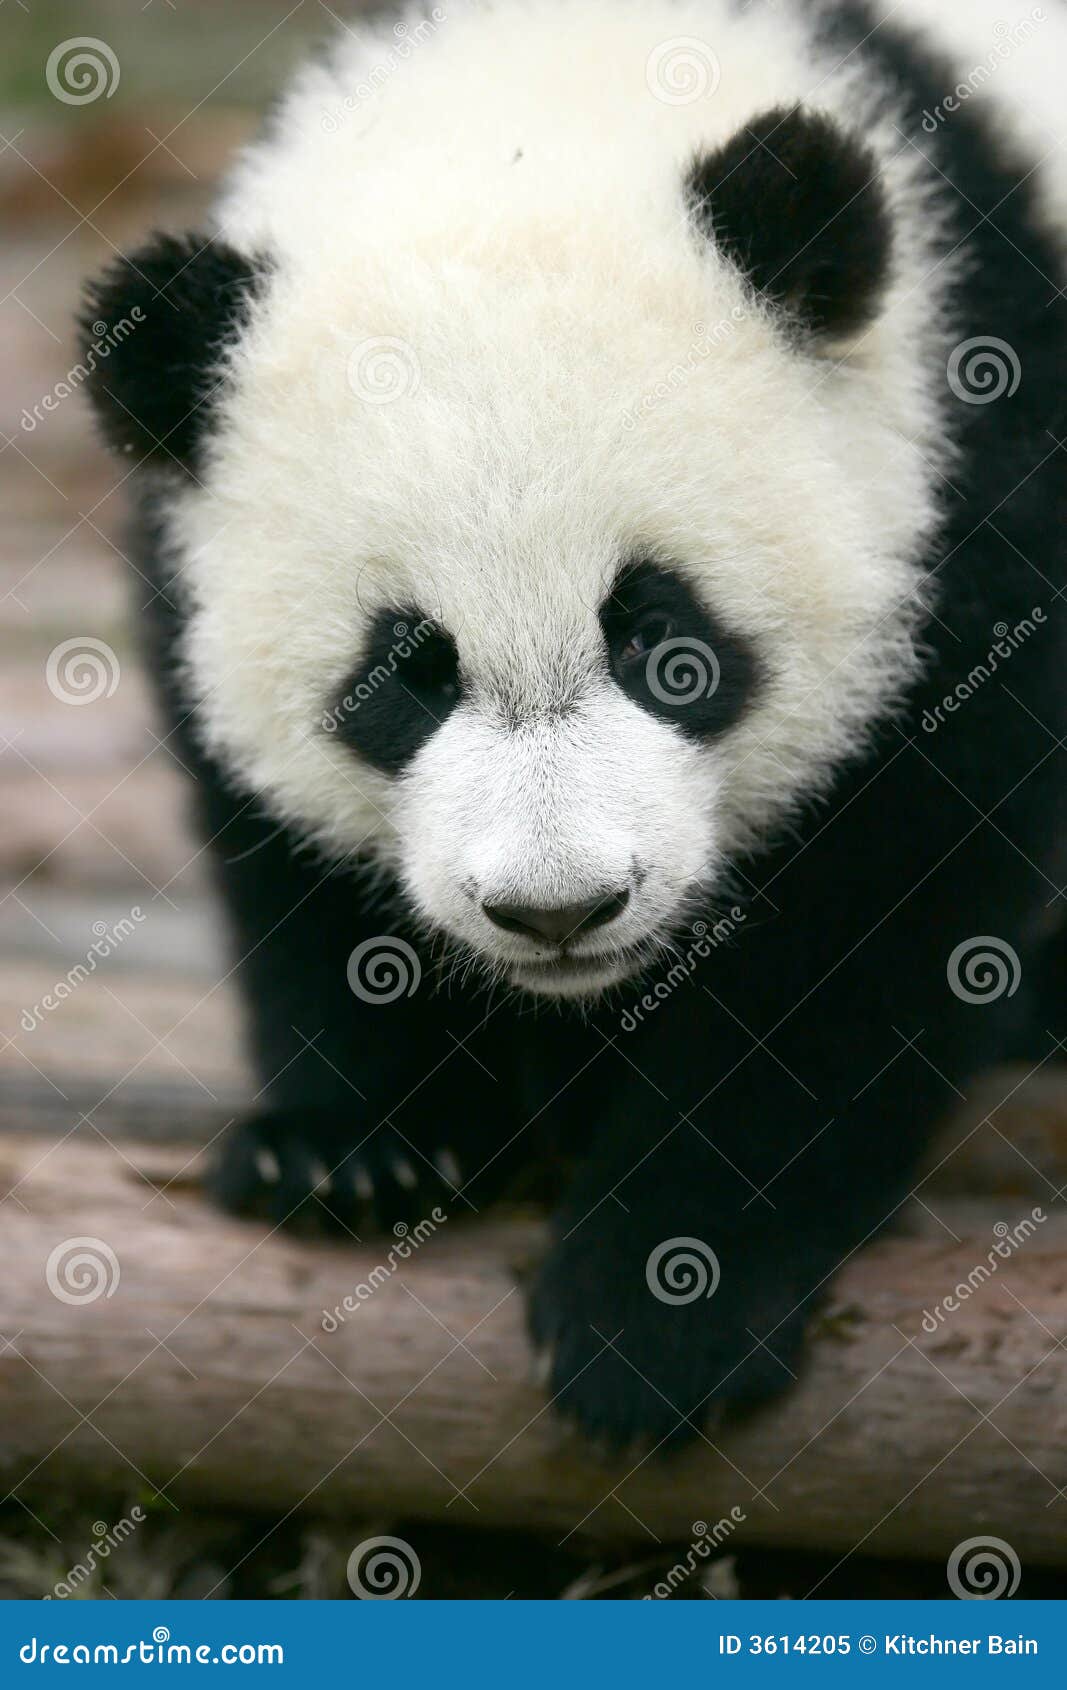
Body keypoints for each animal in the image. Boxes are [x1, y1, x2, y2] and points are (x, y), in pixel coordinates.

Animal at [80, 0, 1066, 1449]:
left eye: (662, 645)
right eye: (406, 674)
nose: (557, 910)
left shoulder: (971, 480)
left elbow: (874, 911)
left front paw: (659, 1301)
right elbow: (282, 854)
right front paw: (351, 1141)